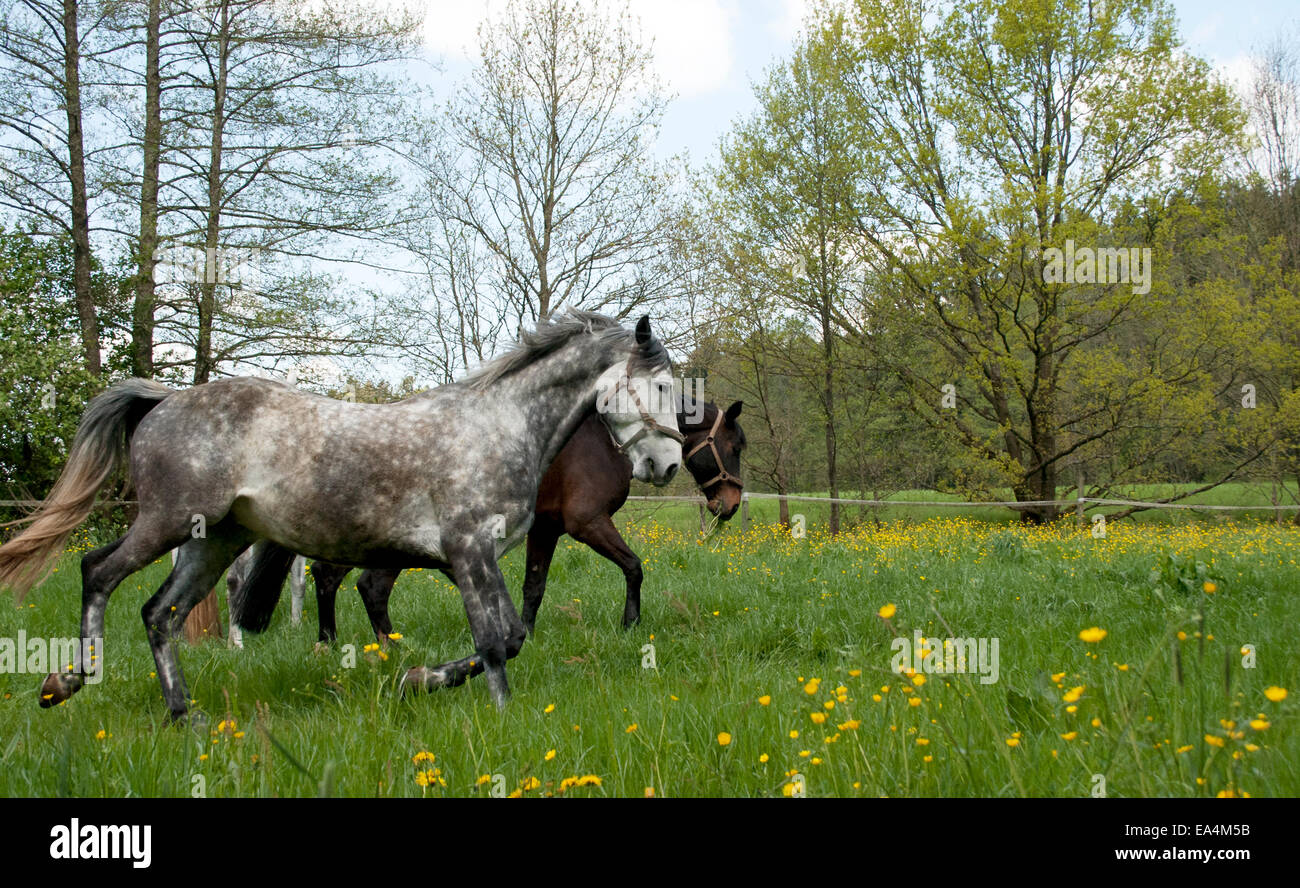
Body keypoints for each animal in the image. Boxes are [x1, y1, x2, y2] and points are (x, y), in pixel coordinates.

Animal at [0, 311, 684, 720]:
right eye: (663, 386)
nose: (668, 463)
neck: (498, 426)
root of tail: (164, 399)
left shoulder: (482, 557)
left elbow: (512, 637)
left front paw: (416, 679)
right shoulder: (468, 550)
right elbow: (494, 641)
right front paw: (493, 712)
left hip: (212, 541)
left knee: (158, 613)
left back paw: (183, 713)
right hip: (170, 521)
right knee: (97, 571)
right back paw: (69, 681)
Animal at [236, 399, 745, 645]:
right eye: (735, 444)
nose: (731, 503)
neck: (604, 440)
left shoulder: (547, 529)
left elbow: (534, 586)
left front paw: (529, 634)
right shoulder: (587, 522)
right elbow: (634, 567)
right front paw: (630, 623)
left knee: (334, 578)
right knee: (360, 585)